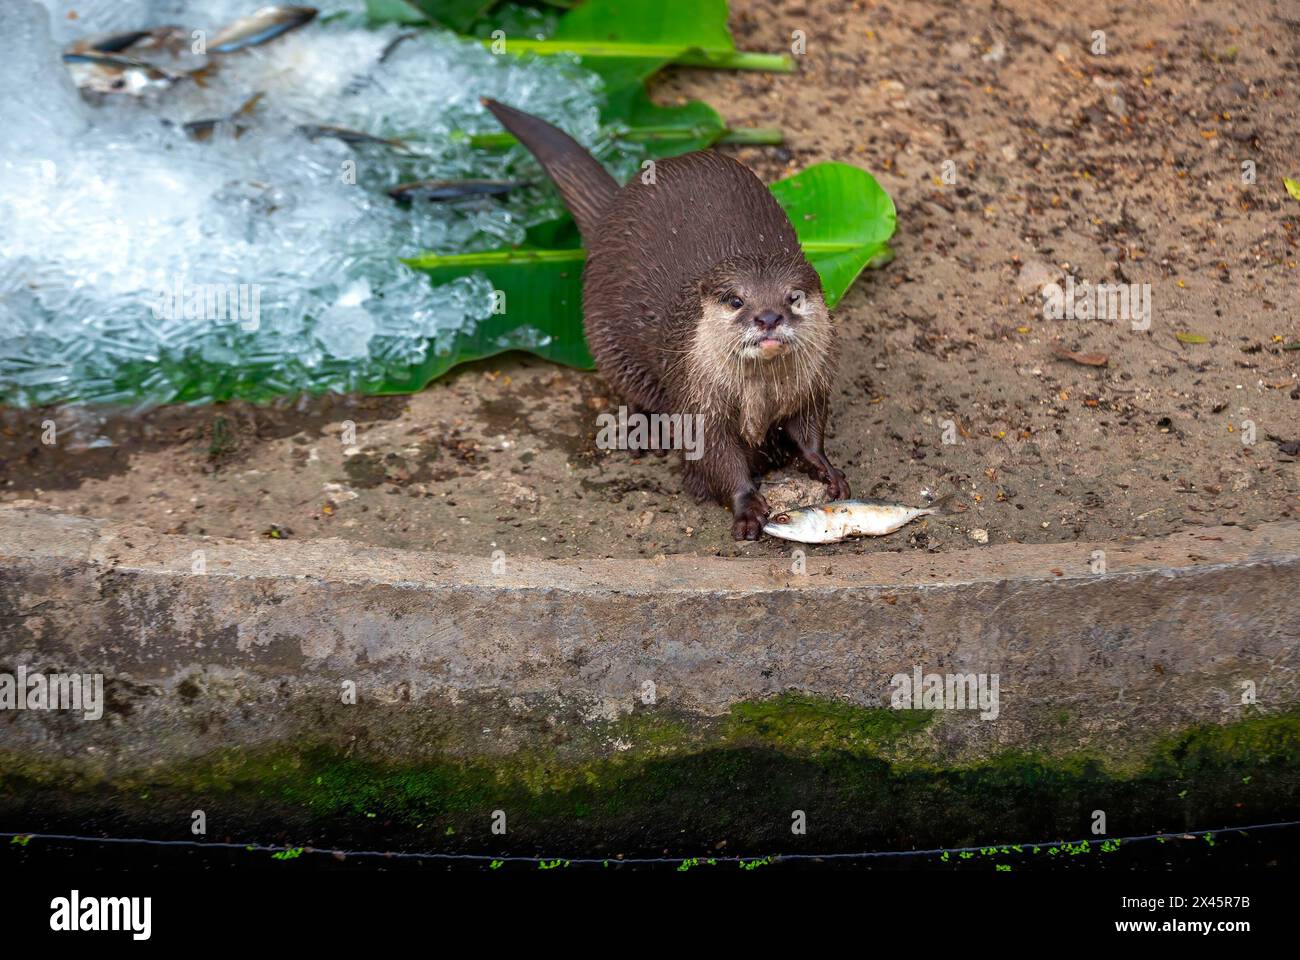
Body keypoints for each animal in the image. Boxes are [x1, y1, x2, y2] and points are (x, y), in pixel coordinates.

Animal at [483, 99, 850, 539]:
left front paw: (826, 469)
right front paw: (745, 504)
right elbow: (716, 456)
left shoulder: (811, 386)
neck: (760, 396)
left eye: (793, 297)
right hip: (608, 336)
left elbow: (810, 431)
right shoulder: (697, 399)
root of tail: (610, 213)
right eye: (736, 300)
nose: (768, 317)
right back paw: (646, 434)